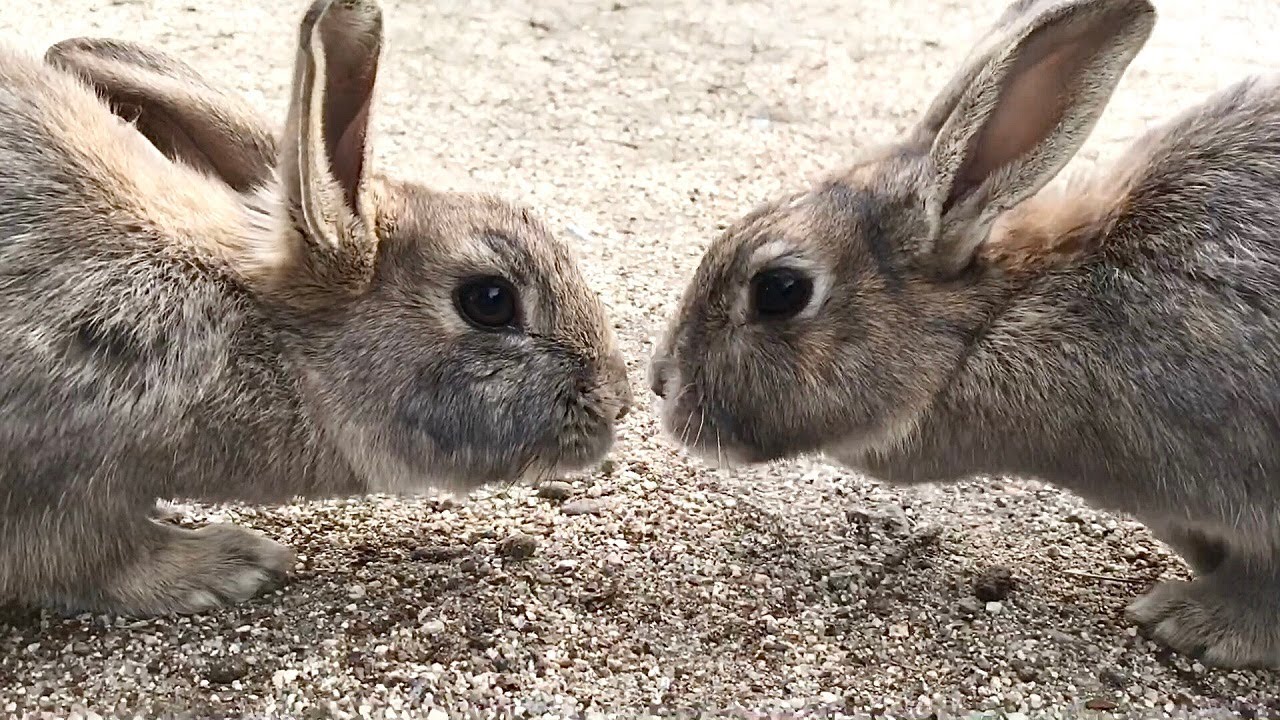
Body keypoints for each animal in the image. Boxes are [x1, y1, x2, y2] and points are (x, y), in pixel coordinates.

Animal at [0, 0, 631, 618]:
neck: (262, 333)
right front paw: (233, 563)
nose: (617, 401)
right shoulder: (62, 483)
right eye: (490, 300)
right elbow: (90, 561)